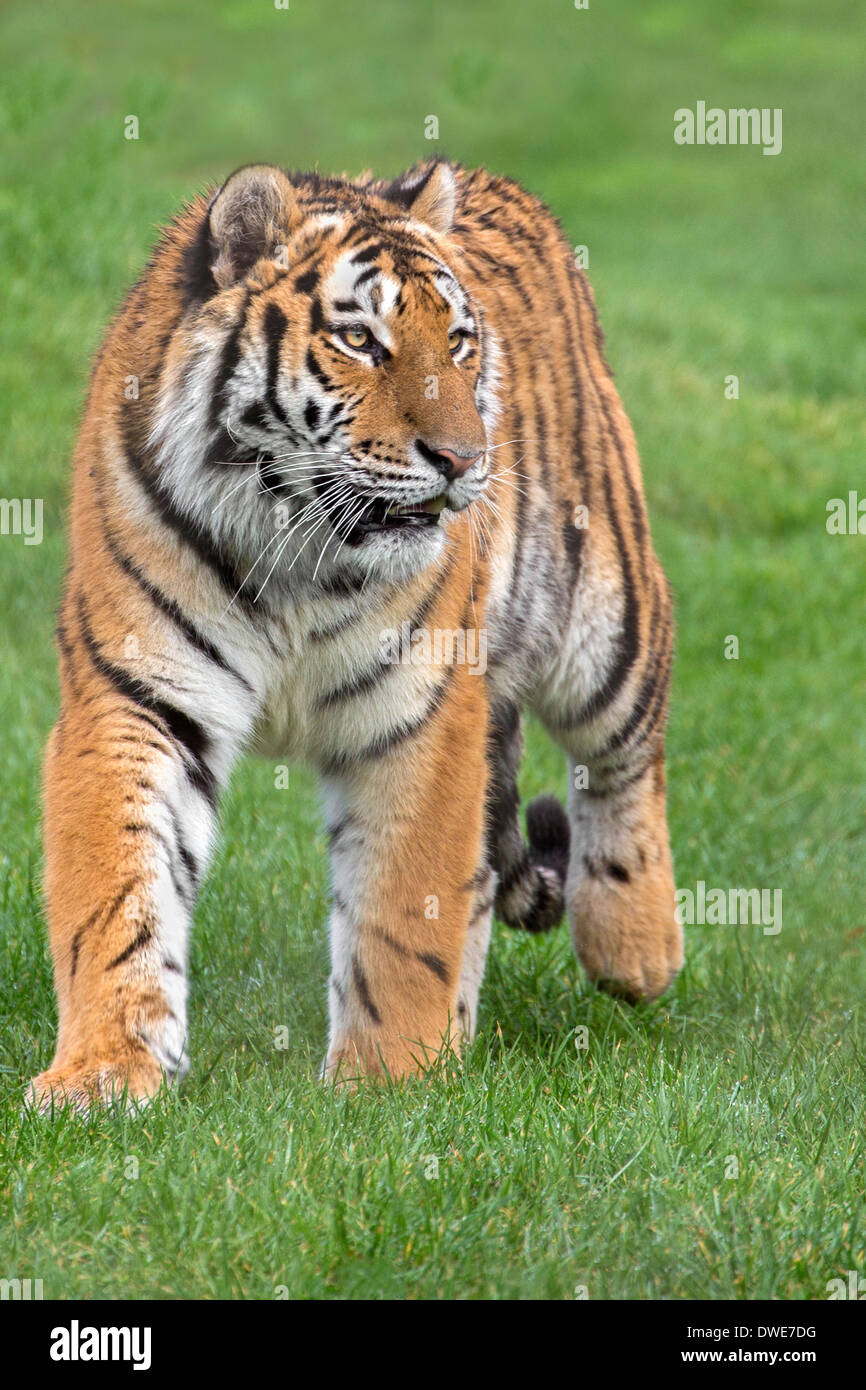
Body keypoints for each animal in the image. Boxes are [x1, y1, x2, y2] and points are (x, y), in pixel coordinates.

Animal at [28, 158, 682, 1112]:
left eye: (458, 342)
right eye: (362, 341)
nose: (463, 459)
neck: (293, 538)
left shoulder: (421, 712)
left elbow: (403, 910)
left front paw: (386, 1086)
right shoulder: (136, 695)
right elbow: (117, 892)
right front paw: (103, 1074)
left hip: (602, 615)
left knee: (627, 752)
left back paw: (636, 947)